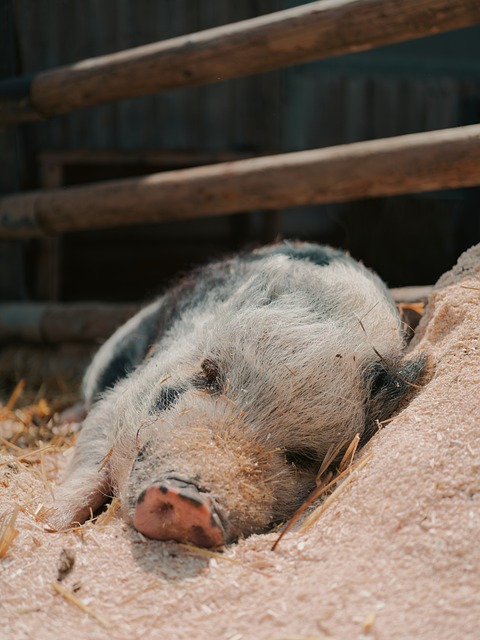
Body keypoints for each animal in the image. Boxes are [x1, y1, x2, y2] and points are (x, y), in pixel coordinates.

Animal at [48, 241, 427, 547]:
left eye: (303, 456)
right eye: (207, 375)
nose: (189, 500)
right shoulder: (125, 394)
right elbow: (92, 453)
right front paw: (50, 523)